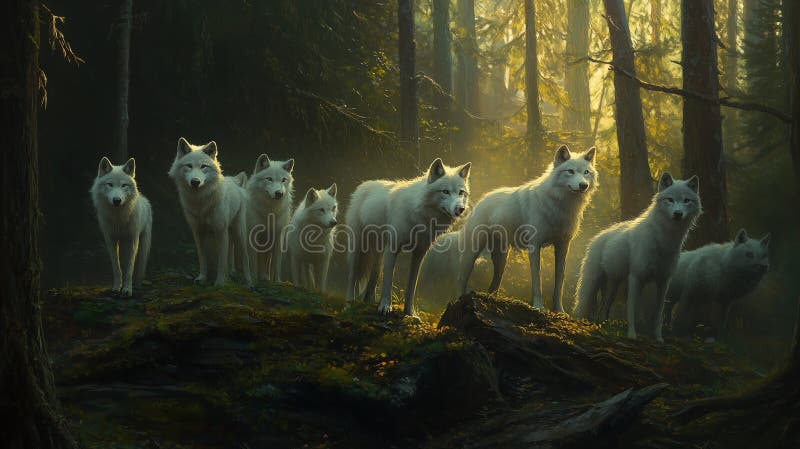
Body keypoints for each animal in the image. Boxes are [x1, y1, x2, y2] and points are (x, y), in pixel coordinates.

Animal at [90, 157, 153, 296]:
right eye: (110, 184)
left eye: (124, 185)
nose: (117, 200)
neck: (118, 217)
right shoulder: (110, 240)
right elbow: (117, 267)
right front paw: (117, 287)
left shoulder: (133, 239)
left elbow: (130, 267)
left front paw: (127, 289)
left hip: (143, 242)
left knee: (140, 265)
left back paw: (138, 284)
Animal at [168, 137, 251, 287]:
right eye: (189, 166)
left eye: (203, 166)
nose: (195, 182)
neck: (200, 202)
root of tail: (233, 180)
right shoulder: (198, 232)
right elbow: (203, 258)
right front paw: (202, 277)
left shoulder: (220, 231)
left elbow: (221, 261)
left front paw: (220, 282)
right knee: (231, 251)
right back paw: (231, 273)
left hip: (238, 231)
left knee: (245, 255)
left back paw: (248, 281)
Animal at [345, 158, 471, 315]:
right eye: (445, 191)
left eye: (461, 192)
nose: (460, 209)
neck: (420, 216)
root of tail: (364, 184)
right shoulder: (393, 248)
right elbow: (388, 281)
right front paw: (385, 306)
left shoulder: (419, 254)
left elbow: (412, 285)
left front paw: (410, 312)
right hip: (357, 249)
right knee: (352, 276)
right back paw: (350, 303)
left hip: (379, 255)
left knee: (373, 279)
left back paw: (369, 301)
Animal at [456, 145, 597, 312]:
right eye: (570, 171)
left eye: (586, 172)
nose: (583, 185)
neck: (560, 205)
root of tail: (484, 198)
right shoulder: (534, 246)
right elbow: (537, 280)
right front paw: (538, 306)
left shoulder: (562, 246)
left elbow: (559, 282)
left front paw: (559, 311)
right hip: (471, 255)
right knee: (461, 279)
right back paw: (459, 300)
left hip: (501, 260)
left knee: (495, 283)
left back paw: (491, 298)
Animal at [573, 173, 701, 341]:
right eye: (670, 199)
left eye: (686, 200)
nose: (678, 214)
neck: (664, 239)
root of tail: (598, 236)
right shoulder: (636, 277)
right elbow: (632, 309)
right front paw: (632, 335)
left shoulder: (663, 281)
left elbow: (658, 314)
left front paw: (658, 338)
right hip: (593, 283)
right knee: (585, 304)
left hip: (614, 286)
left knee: (604, 307)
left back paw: (603, 325)